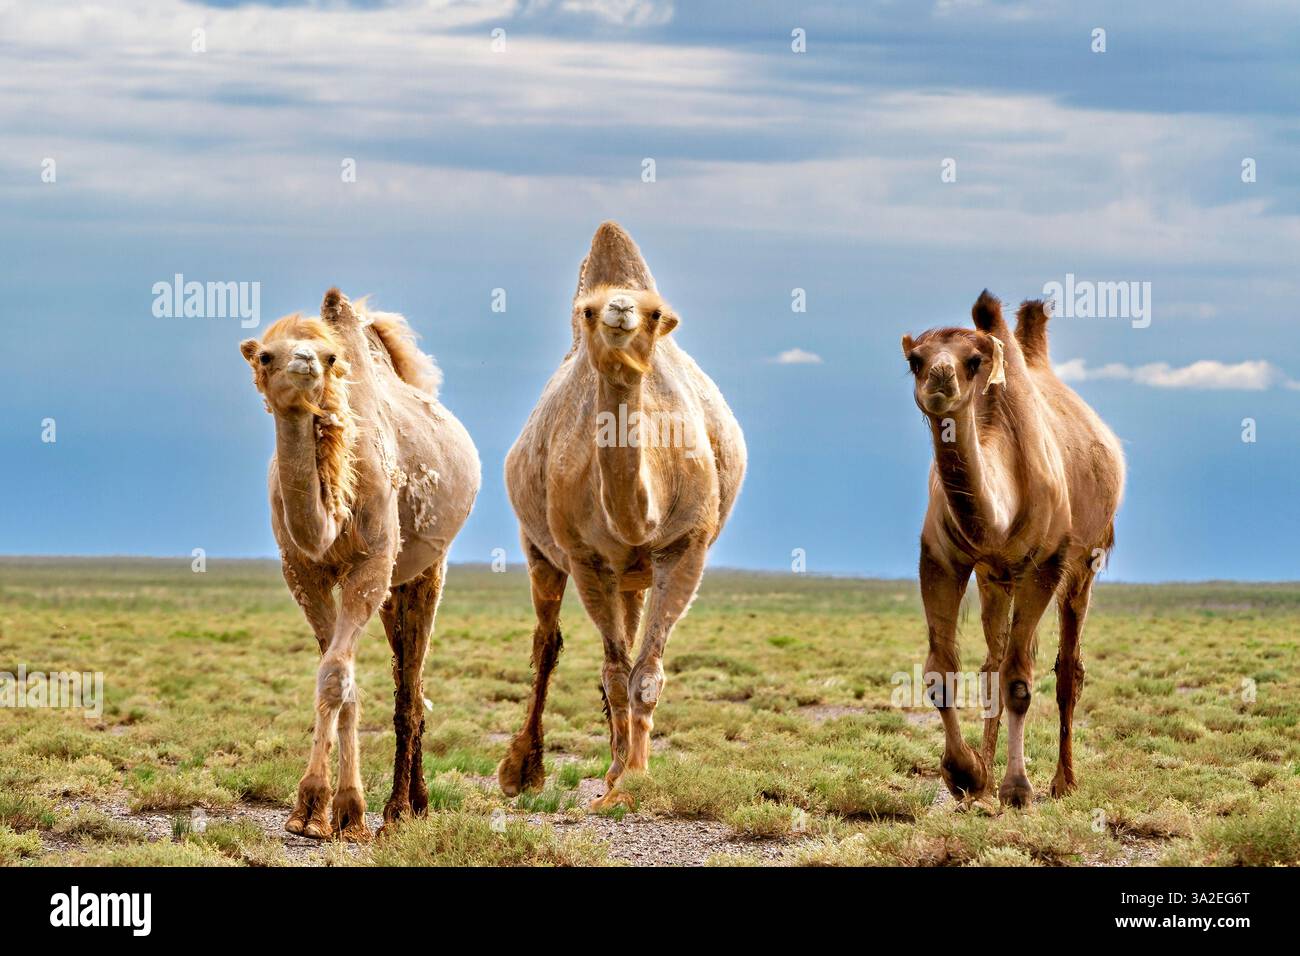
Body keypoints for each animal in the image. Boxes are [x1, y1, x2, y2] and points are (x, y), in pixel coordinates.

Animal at [238, 289, 479, 840]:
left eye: (331, 358)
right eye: (266, 355)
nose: (306, 362)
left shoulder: (370, 566)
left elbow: (334, 675)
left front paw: (320, 810)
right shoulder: (302, 573)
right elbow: (341, 677)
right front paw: (336, 810)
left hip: (426, 571)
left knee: (410, 690)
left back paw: (402, 809)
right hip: (394, 589)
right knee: (407, 683)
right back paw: (411, 803)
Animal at [496, 221, 746, 809]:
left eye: (656, 314)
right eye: (587, 311)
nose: (619, 310)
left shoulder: (685, 547)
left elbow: (645, 672)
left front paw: (633, 779)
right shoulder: (585, 557)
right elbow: (613, 669)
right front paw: (613, 778)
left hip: (632, 575)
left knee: (628, 644)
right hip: (540, 550)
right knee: (547, 645)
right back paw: (525, 770)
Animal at [900, 291, 1124, 808]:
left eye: (974, 360)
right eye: (914, 360)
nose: (940, 376)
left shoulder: (1045, 564)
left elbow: (1020, 679)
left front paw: (1017, 788)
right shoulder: (943, 558)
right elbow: (942, 673)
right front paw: (967, 775)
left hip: (1084, 563)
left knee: (1066, 670)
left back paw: (1063, 782)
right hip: (995, 578)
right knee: (991, 665)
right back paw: (984, 784)